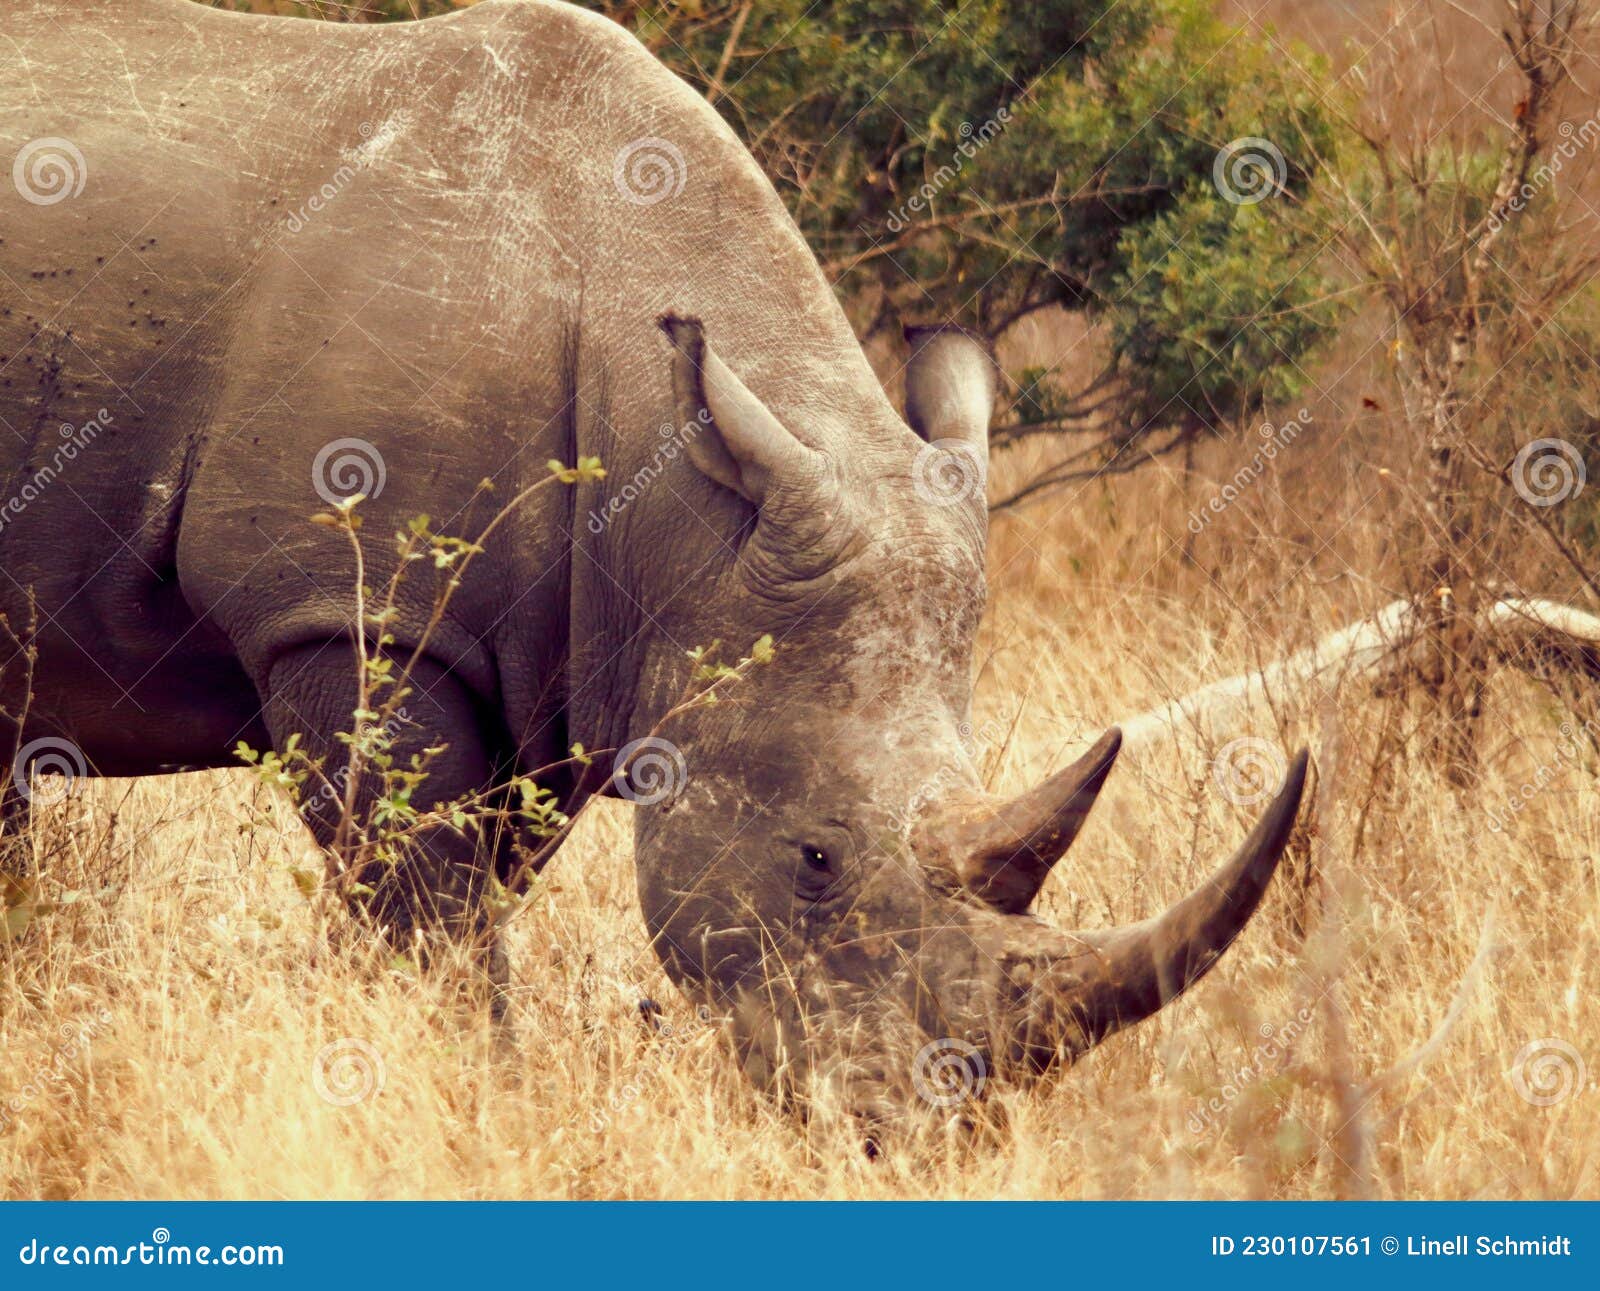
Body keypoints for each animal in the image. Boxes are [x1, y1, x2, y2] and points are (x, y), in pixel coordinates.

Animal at [0, 0, 1307, 1128]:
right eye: (815, 860)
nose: (929, 1138)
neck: (681, 502)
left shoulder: (566, 664)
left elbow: (467, 897)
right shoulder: (354, 610)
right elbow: (424, 906)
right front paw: (430, 1089)